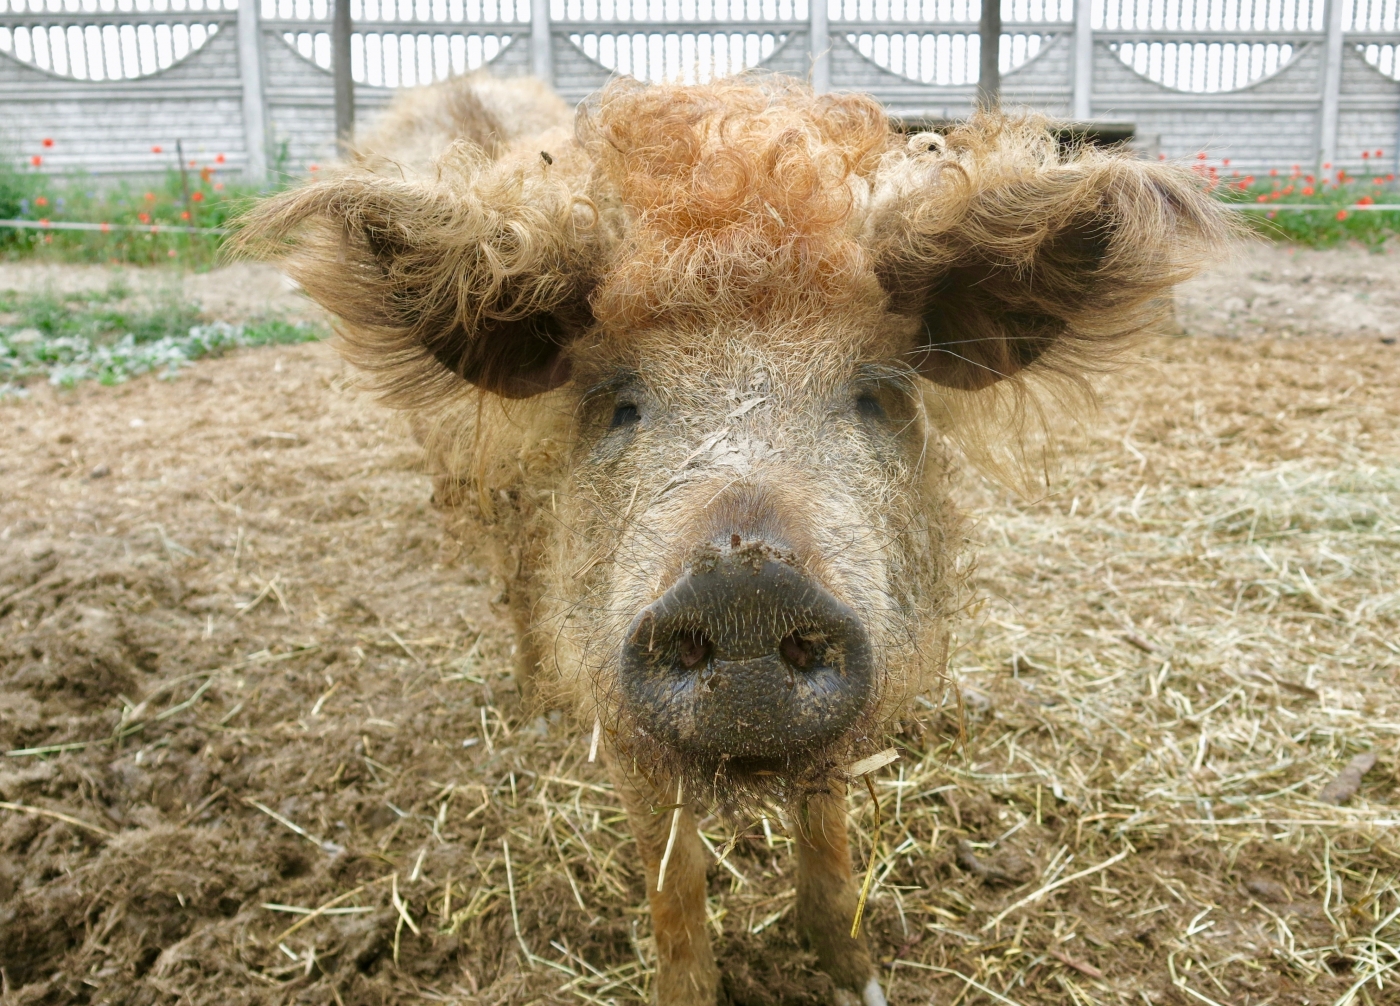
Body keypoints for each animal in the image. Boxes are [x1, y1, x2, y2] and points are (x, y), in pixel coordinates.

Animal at [236, 73, 1226, 1006]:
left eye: (873, 393)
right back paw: (532, 701)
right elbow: (671, 872)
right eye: (619, 403)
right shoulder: (609, 667)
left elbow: (828, 832)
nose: (746, 587)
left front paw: (859, 981)